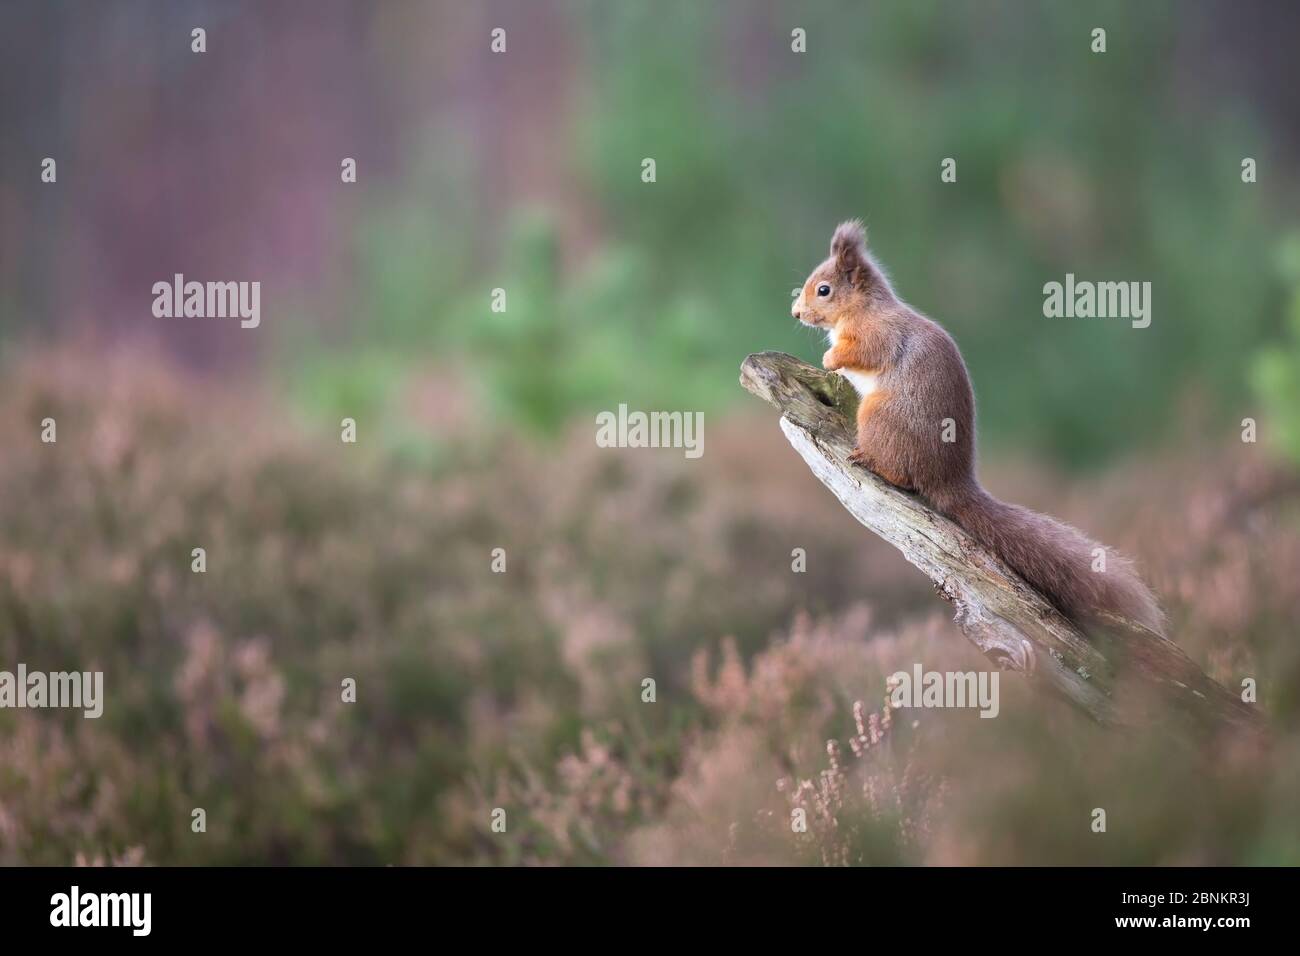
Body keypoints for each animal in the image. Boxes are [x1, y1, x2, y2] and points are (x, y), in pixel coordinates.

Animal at [792, 220, 1164, 635]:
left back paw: (871, 461)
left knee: (904, 476)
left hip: (877, 417)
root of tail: (950, 480)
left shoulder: (879, 335)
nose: (795, 313)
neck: (862, 307)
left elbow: (861, 352)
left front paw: (831, 358)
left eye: (824, 290)